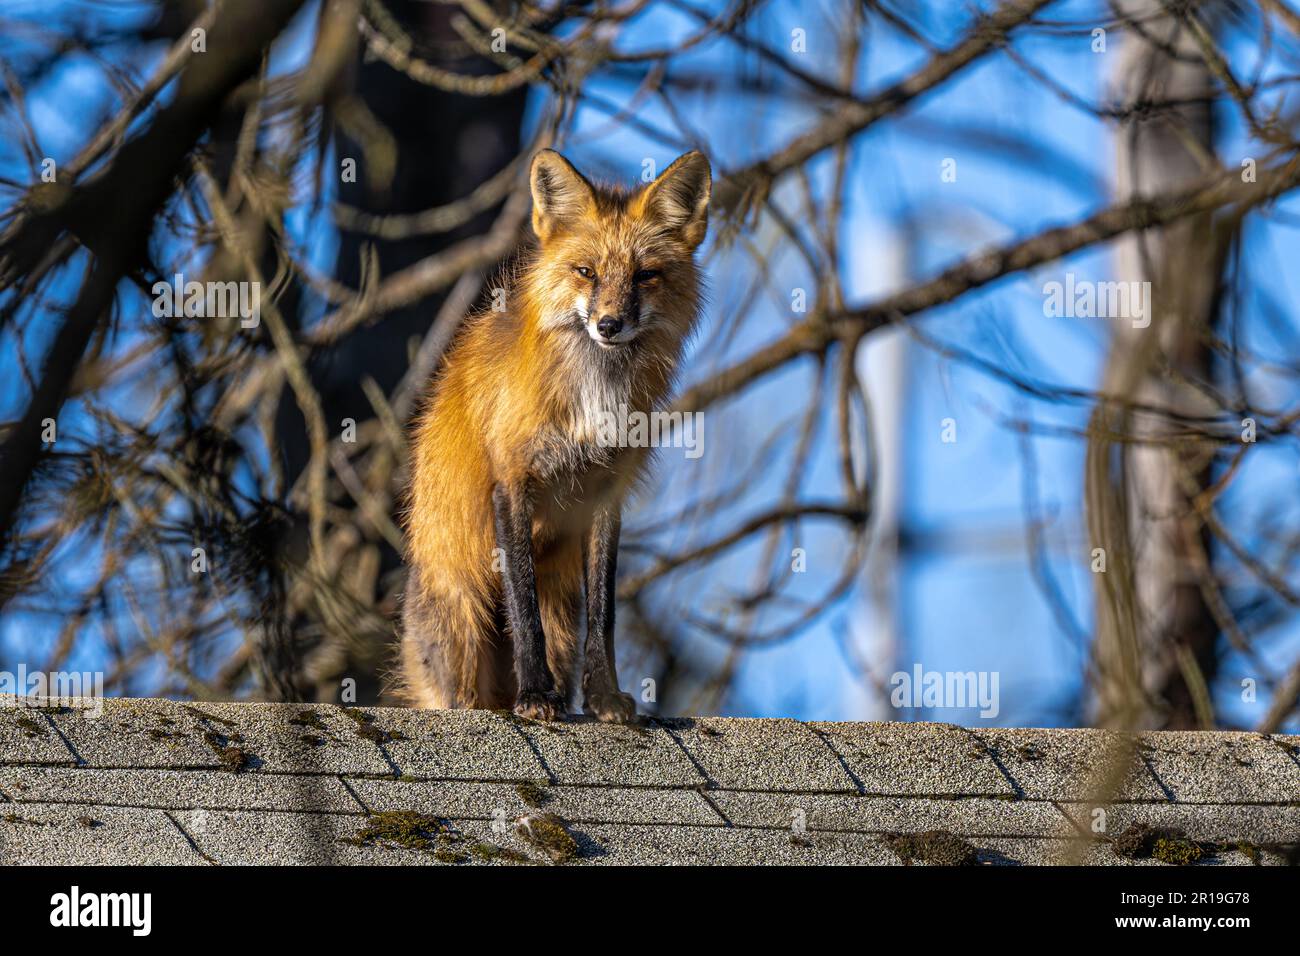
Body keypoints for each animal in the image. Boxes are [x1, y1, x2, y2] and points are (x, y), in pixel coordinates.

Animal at [396, 148, 711, 722]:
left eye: (645, 276)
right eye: (586, 271)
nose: (609, 324)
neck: (592, 397)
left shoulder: (606, 492)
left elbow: (604, 612)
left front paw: (604, 695)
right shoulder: (512, 480)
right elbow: (523, 607)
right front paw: (535, 695)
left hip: (559, 616)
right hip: (464, 640)